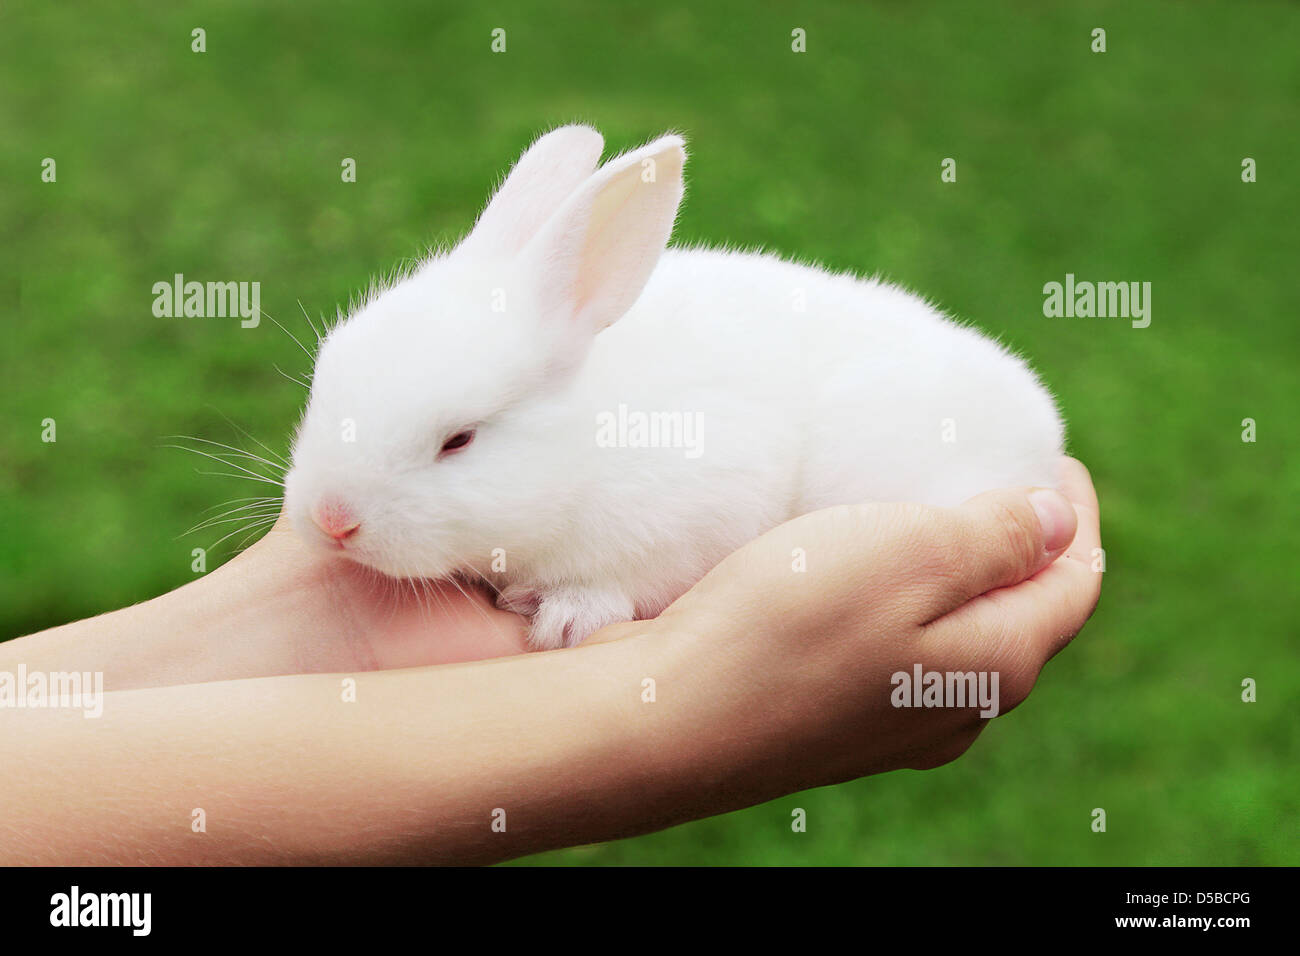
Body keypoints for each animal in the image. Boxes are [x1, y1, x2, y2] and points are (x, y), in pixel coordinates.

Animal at [282, 124, 1064, 650]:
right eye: (327, 379)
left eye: (459, 441)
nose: (332, 520)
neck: (586, 447)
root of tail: (1042, 419)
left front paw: (566, 614)